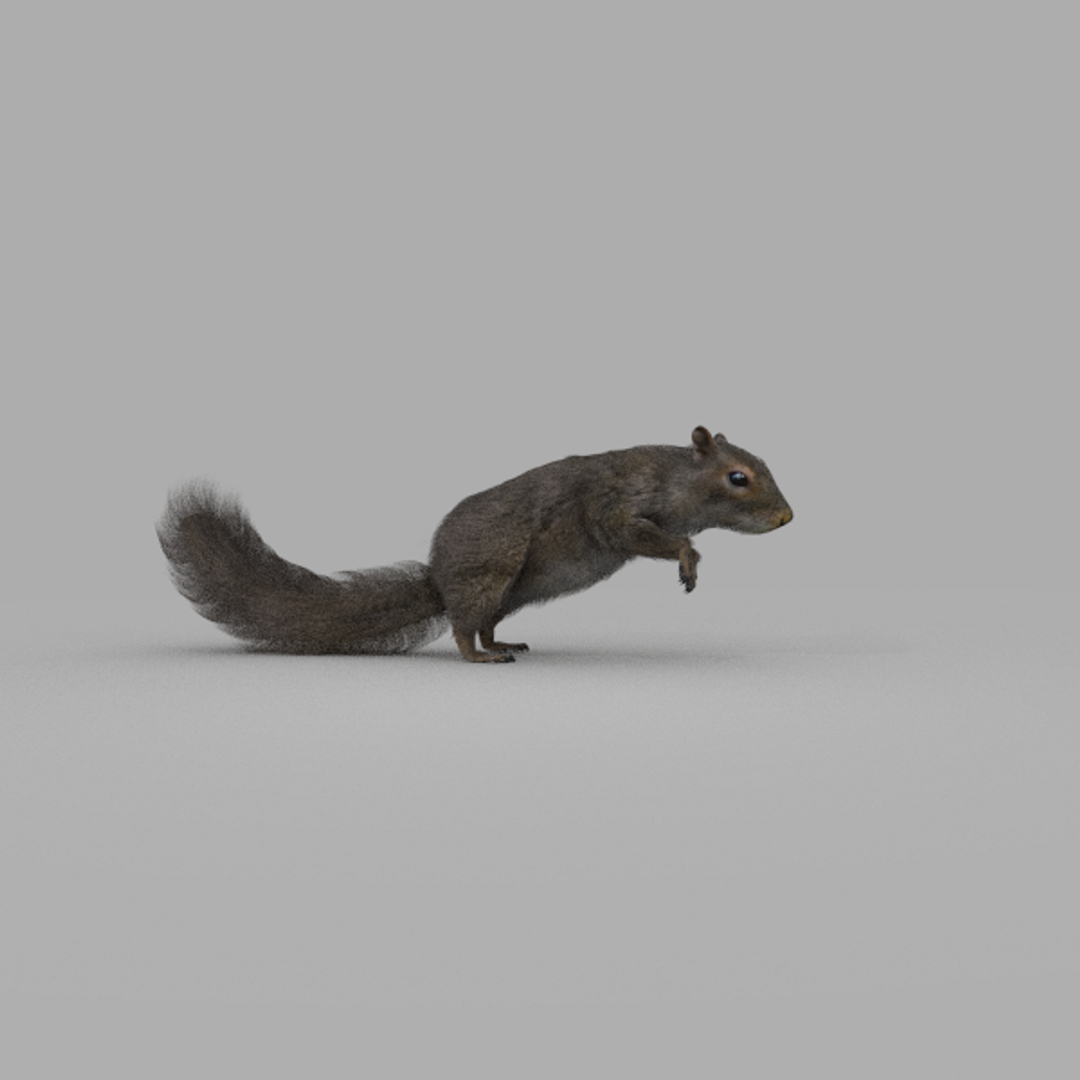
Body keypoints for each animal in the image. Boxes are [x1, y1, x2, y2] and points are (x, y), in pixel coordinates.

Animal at [157, 426, 792, 663]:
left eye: (760, 462)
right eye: (738, 477)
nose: (787, 517)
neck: (671, 478)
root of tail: (439, 578)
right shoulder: (611, 505)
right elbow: (640, 533)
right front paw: (688, 558)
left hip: (509, 590)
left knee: (483, 621)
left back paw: (503, 642)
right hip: (492, 570)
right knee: (463, 628)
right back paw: (481, 656)